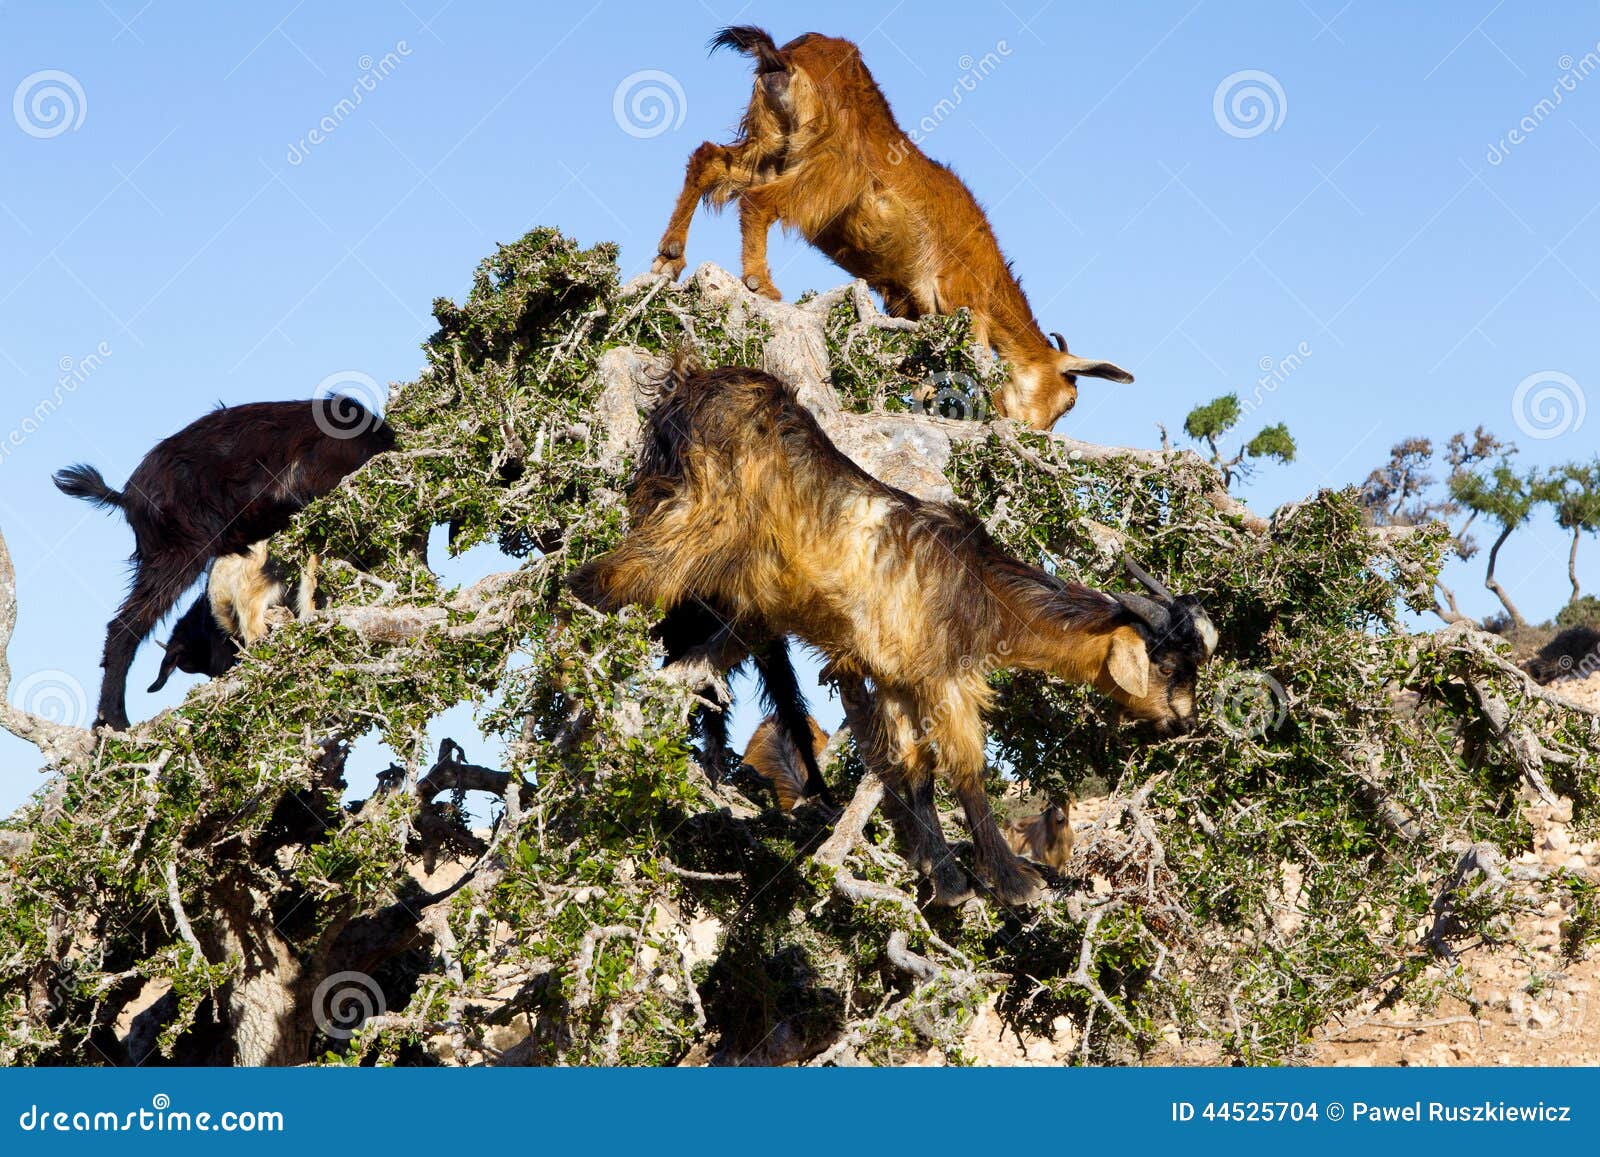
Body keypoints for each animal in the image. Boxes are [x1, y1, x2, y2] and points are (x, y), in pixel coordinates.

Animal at [568, 359, 1217, 906]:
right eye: (1168, 666)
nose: (1185, 721)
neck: (978, 591)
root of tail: (692, 384)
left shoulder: (898, 679)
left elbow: (913, 770)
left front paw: (944, 876)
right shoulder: (943, 679)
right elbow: (966, 769)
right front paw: (1011, 881)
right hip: (692, 525)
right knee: (592, 584)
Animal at [650, 26, 1133, 431]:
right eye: (1069, 400)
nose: (1036, 434)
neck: (988, 269)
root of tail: (783, 61)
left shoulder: (907, 301)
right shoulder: (960, 298)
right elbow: (971, 362)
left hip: (769, 144)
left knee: (708, 160)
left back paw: (669, 258)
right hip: (830, 170)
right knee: (758, 201)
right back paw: (758, 282)